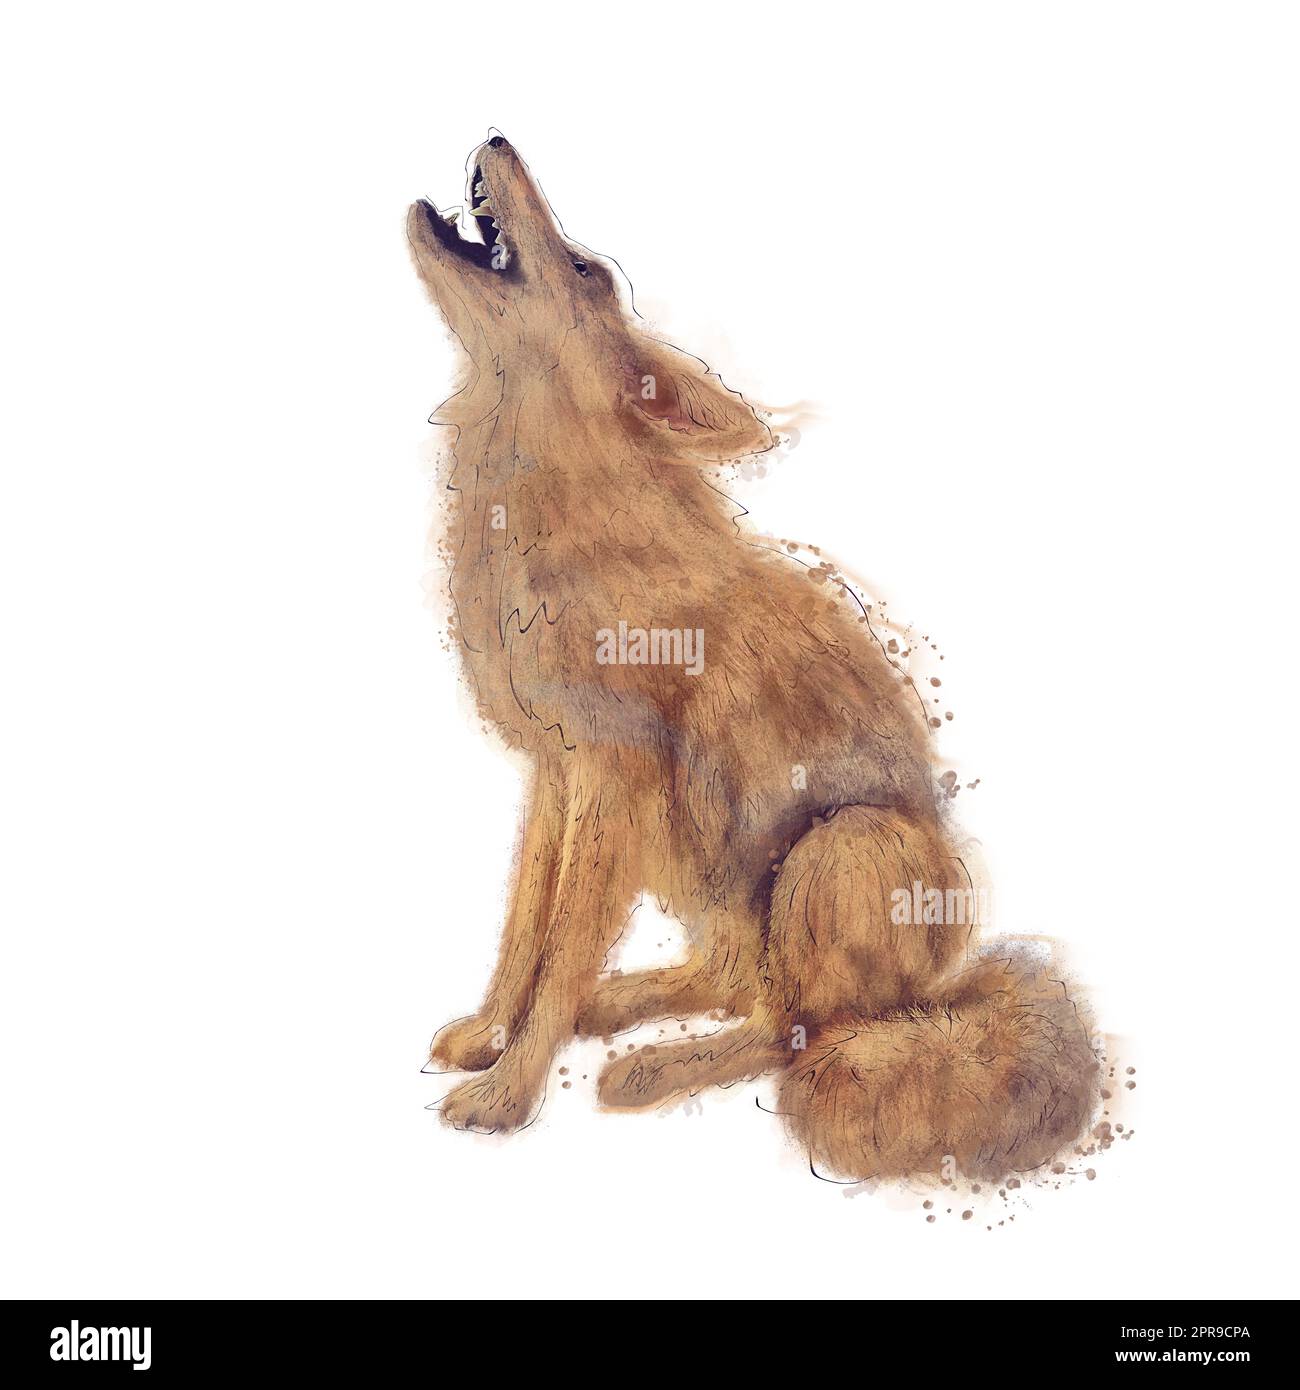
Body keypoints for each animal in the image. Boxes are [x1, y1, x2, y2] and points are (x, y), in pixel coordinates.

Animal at [406, 134, 1098, 1180]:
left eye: (586, 271)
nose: (498, 139)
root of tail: (938, 990)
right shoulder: (556, 776)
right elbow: (524, 930)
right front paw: (490, 1039)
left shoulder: (611, 776)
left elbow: (561, 951)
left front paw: (508, 1094)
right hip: (709, 869)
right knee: (741, 978)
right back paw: (628, 1005)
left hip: (834, 849)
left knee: (795, 1027)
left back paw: (648, 1066)